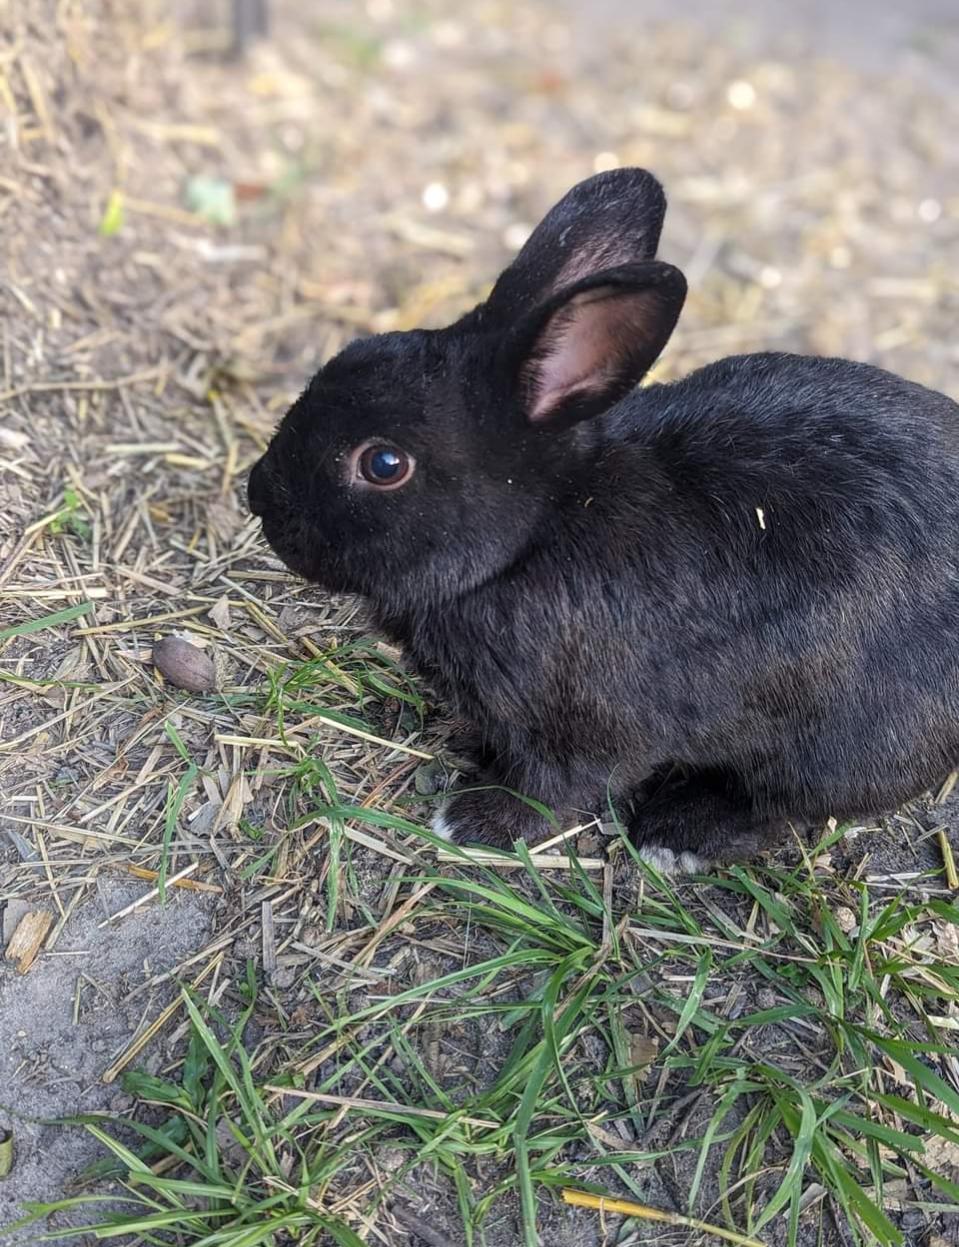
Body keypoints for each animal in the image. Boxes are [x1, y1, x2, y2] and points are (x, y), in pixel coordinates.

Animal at [248, 167, 959, 871]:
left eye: (384, 463)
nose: (258, 496)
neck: (537, 532)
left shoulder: (583, 730)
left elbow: (556, 787)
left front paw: (472, 822)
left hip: (838, 744)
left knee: (784, 806)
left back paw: (677, 834)